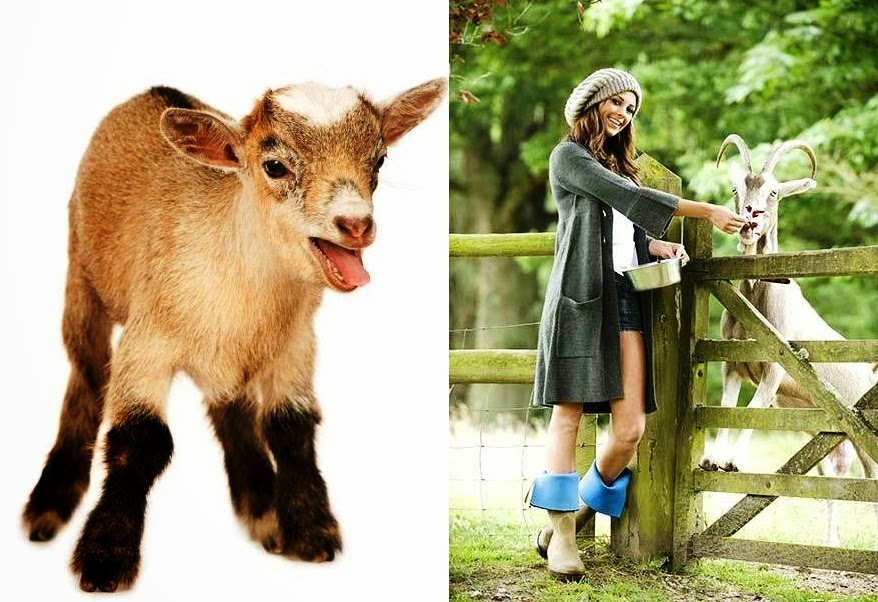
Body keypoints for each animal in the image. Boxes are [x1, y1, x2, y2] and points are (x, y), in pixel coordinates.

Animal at [21, 78, 447, 592]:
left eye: (379, 160)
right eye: (274, 166)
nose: (356, 224)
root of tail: (148, 92)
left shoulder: (295, 346)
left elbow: (292, 428)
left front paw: (312, 532)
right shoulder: (146, 344)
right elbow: (139, 440)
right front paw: (105, 558)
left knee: (230, 403)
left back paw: (262, 508)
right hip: (81, 274)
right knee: (85, 374)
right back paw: (50, 502)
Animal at [703, 134, 878, 546]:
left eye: (773, 192)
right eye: (736, 189)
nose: (749, 220)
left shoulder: (777, 368)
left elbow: (752, 409)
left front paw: (733, 461)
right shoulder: (732, 365)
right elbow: (729, 408)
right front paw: (712, 459)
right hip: (824, 432)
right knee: (832, 476)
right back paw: (830, 542)